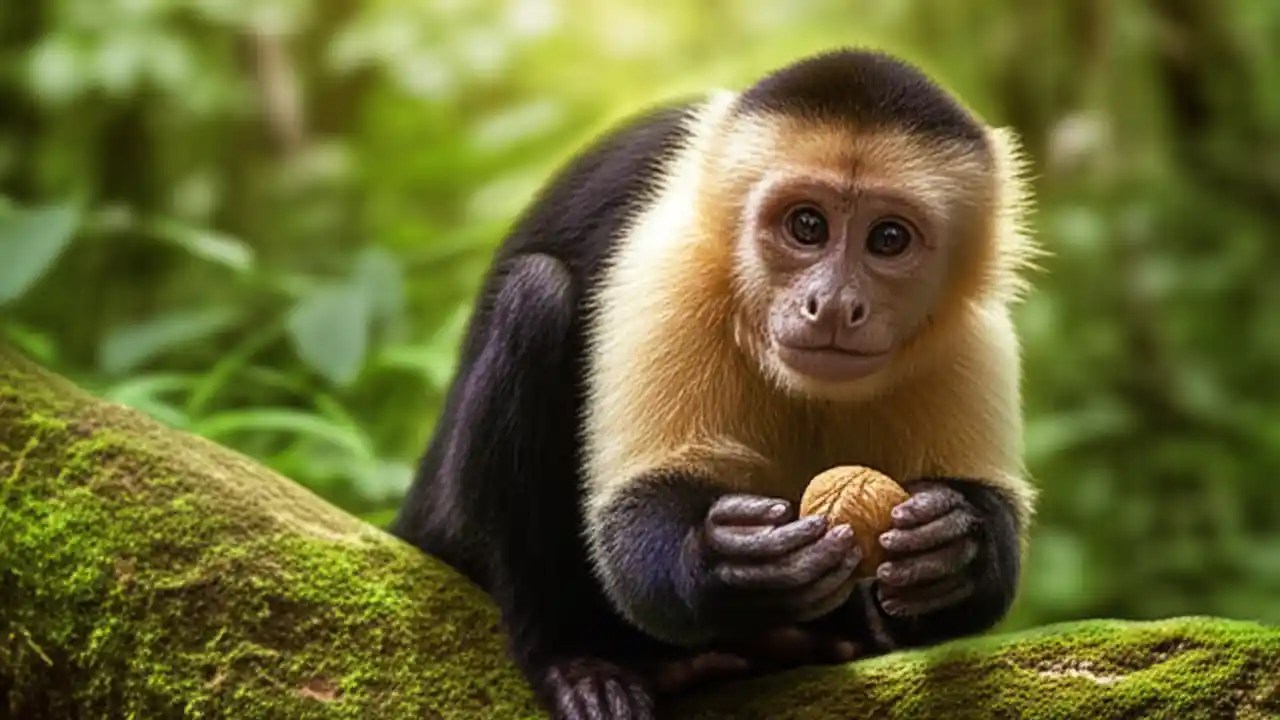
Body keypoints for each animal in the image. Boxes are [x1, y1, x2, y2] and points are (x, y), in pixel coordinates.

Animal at [390, 48, 1040, 720]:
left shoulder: (971, 334)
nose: (834, 304)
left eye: (888, 238)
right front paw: (728, 564)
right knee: (534, 296)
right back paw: (576, 659)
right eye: (807, 226)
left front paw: (953, 549)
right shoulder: (670, 271)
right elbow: (631, 524)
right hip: (445, 525)